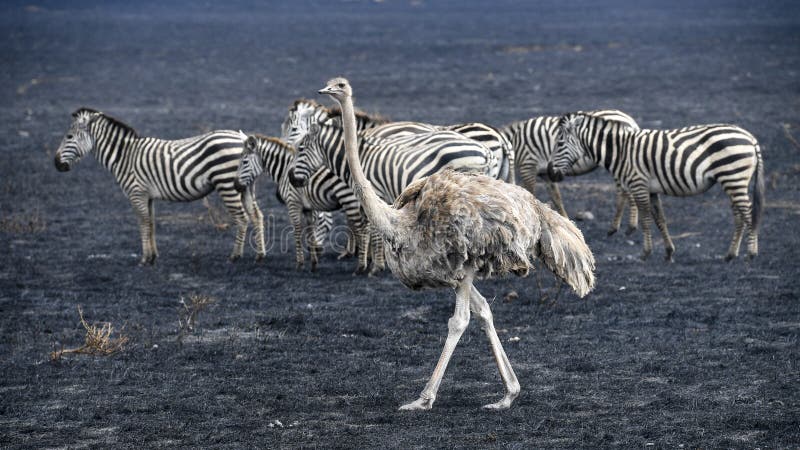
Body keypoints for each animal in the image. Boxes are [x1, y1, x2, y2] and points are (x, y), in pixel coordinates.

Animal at [54, 108, 265, 265]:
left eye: (69, 137)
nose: (56, 163)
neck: (124, 156)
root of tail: (240, 138)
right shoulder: (147, 196)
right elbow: (152, 223)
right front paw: (153, 256)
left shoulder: (136, 193)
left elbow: (143, 223)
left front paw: (145, 259)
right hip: (245, 184)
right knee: (257, 215)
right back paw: (260, 254)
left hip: (227, 184)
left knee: (242, 218)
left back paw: (235, 256)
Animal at [234, 134, 369, 272]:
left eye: (244, 162)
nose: (235, 186)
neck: (284, 170)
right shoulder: (307, 208)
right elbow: (310, 233)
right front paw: (314, 263)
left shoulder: (293, 203)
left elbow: (297, 231)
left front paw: (300, 263)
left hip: (348, 199)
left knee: (363, 228)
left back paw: (362, 265)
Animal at [500, 110, 640, 235]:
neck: (514, 141)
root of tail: (630, 120)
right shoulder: (546, 174)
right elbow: (556, 198)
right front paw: (565, 222)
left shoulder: (528, 166)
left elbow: (530, 193)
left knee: (624, 191)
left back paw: (624, 225)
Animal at [547, 112, 764, 261]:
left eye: (559, 143)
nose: (549, 172)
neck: (621, 151)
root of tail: (751, 138)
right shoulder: (651, 190)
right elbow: (660, 220)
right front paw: (668, 252)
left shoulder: (638, 185)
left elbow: (645, 220)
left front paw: (645, 253)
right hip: (732, 180)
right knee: (739, 215)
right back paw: (731, 254)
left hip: (734, 177)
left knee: (749, 214)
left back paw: (752, 252)